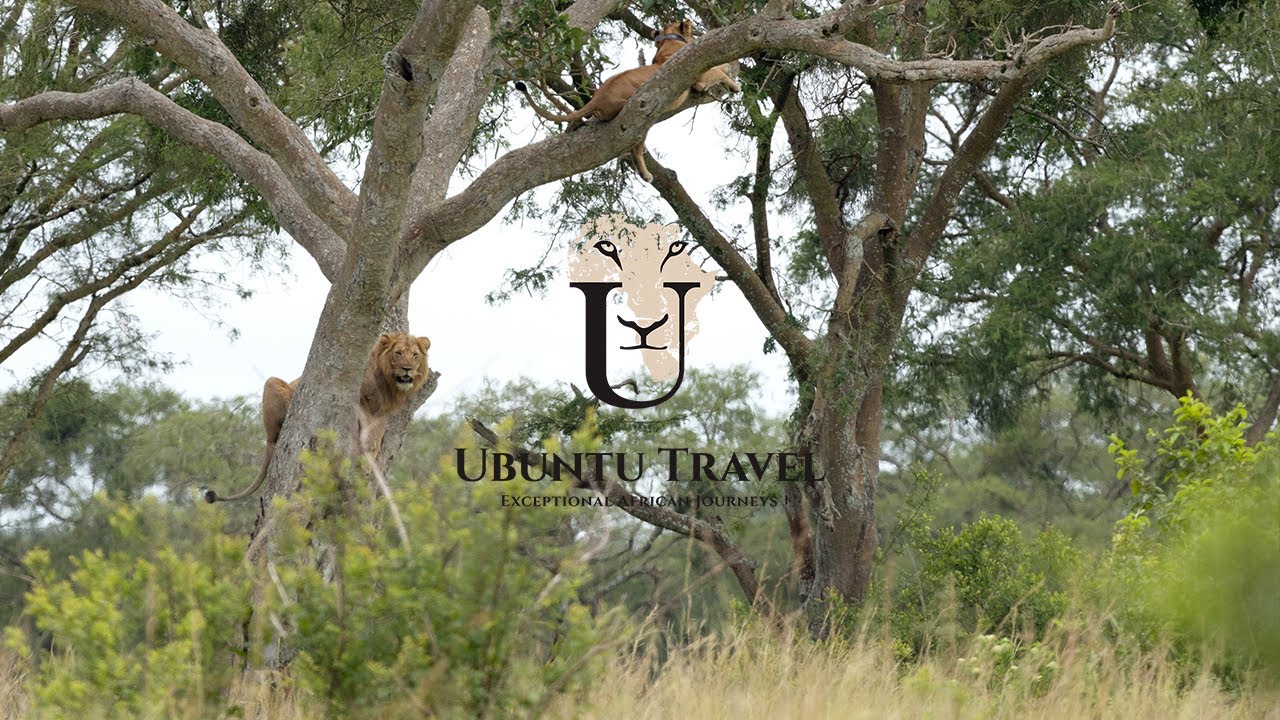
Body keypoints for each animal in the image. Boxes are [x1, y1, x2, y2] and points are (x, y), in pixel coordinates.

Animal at [204, 332, 431, 503]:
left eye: (415, 355)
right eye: (398, 353)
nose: (407, 369)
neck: (390, 384)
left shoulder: (385, 412)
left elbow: (376, 438)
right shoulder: (357, 396)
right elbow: (366, 430)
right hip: (272, 382)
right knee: (273, 436)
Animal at [514, 19, 741, 182]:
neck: (668, 41)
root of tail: (597, 98)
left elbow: (719, 68)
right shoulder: (697, 76)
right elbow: (718, 71)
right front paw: (735, 84)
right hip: (639, 116)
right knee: (635, 147)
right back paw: (646, 173)